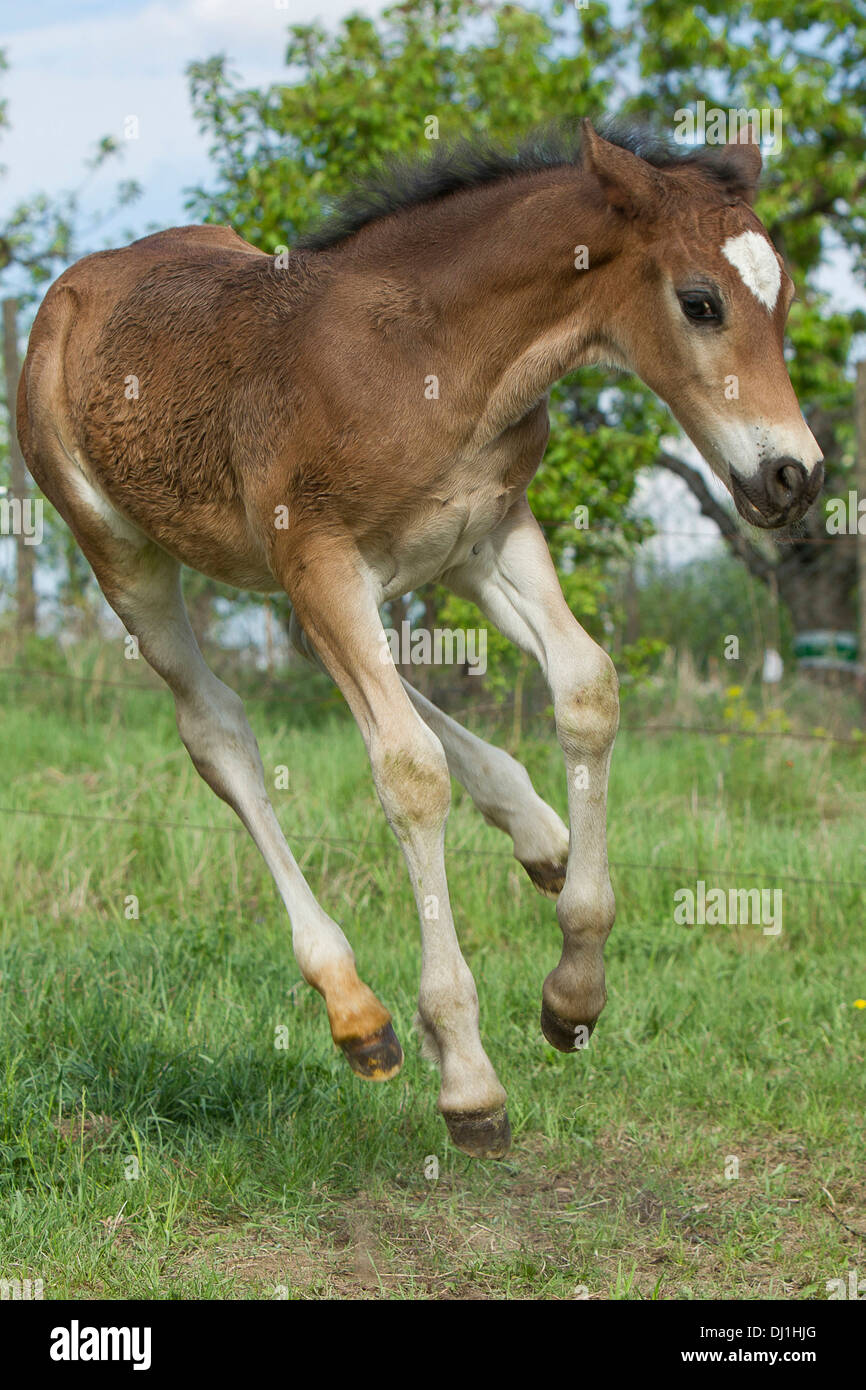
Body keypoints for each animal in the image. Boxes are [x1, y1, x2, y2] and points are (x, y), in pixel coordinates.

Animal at [17, 121, 823, 1158]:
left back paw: (538, 832)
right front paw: (468, 1076)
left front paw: (574, 994)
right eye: (700, 301)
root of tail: (76, 285)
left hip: (339, 575)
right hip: (127, 555)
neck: (432, 357)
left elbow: (586, 687)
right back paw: (356, 1011)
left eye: (786, 297)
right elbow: (405, 775)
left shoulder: (490, 533)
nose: (794, 476)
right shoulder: (321, 554)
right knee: (219, 730)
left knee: (351, 677)